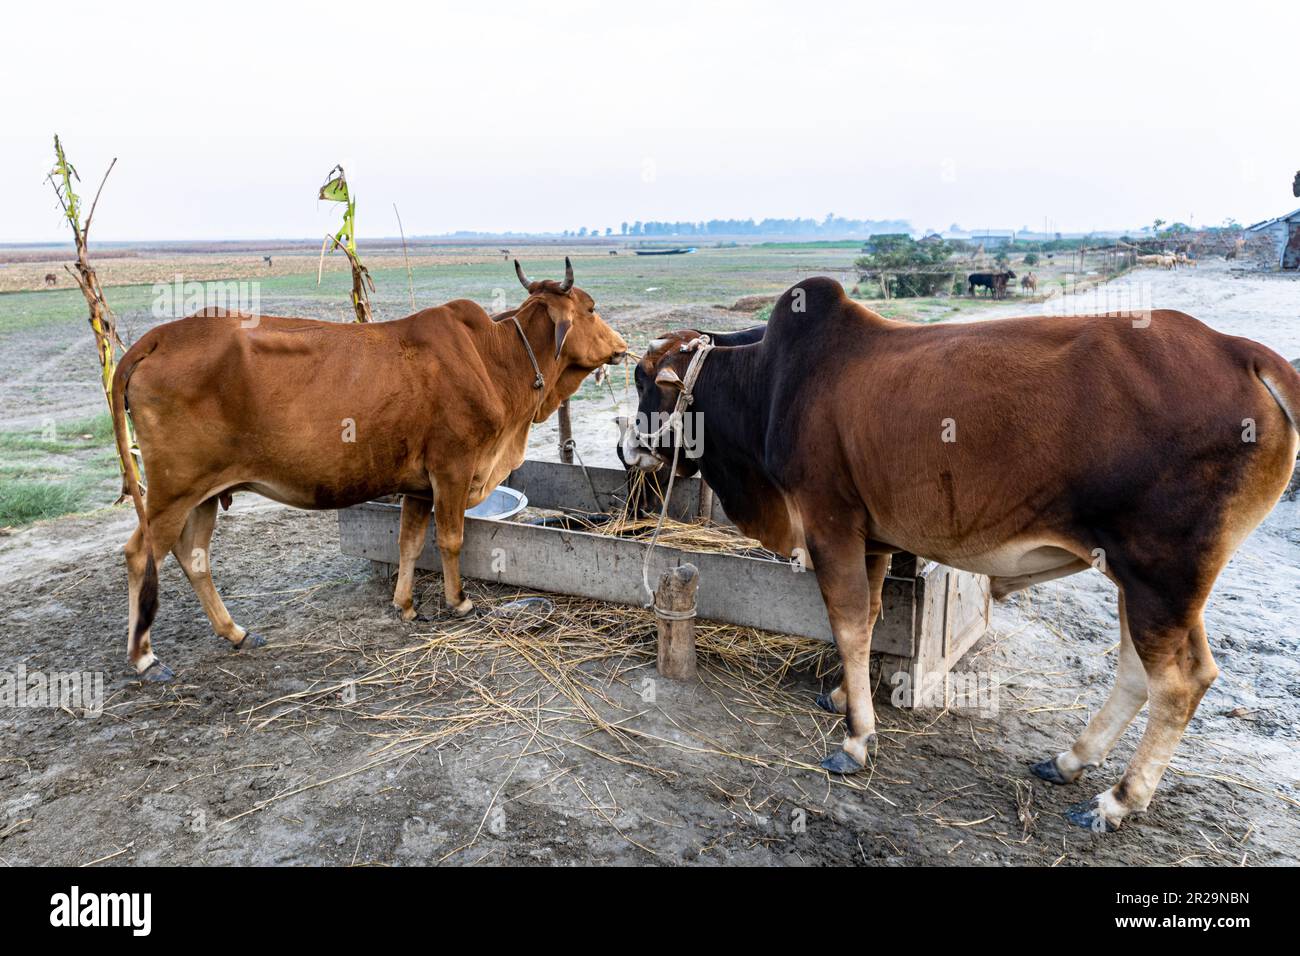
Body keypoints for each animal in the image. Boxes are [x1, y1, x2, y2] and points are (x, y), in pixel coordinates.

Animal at [110, 258, 627, 681]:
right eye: (592, 307)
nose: (622, 345)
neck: (495, 359)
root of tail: (156, 338)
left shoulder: (419, 486)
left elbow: (410, 543)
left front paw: (406, 606)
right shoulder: (453, 469)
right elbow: (450, 540)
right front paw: (458, 602)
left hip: (203, 493)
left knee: (194, 555)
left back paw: (235, 632)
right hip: (173, 491)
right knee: (141, 554)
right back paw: (145, 658)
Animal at [620, 277, 1300, 832]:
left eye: (646, 382)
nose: (629, 451)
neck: (768, 383)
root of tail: (1245, 353)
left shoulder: (830, 523)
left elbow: (847, 623)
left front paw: (857, 740)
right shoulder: (868, 537)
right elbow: (868, 620)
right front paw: (844, 698)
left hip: (1161, 574)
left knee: (1180, 682)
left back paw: (1118, 800)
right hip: (1148, 580)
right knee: (1146, 670)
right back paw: (1070, 760)